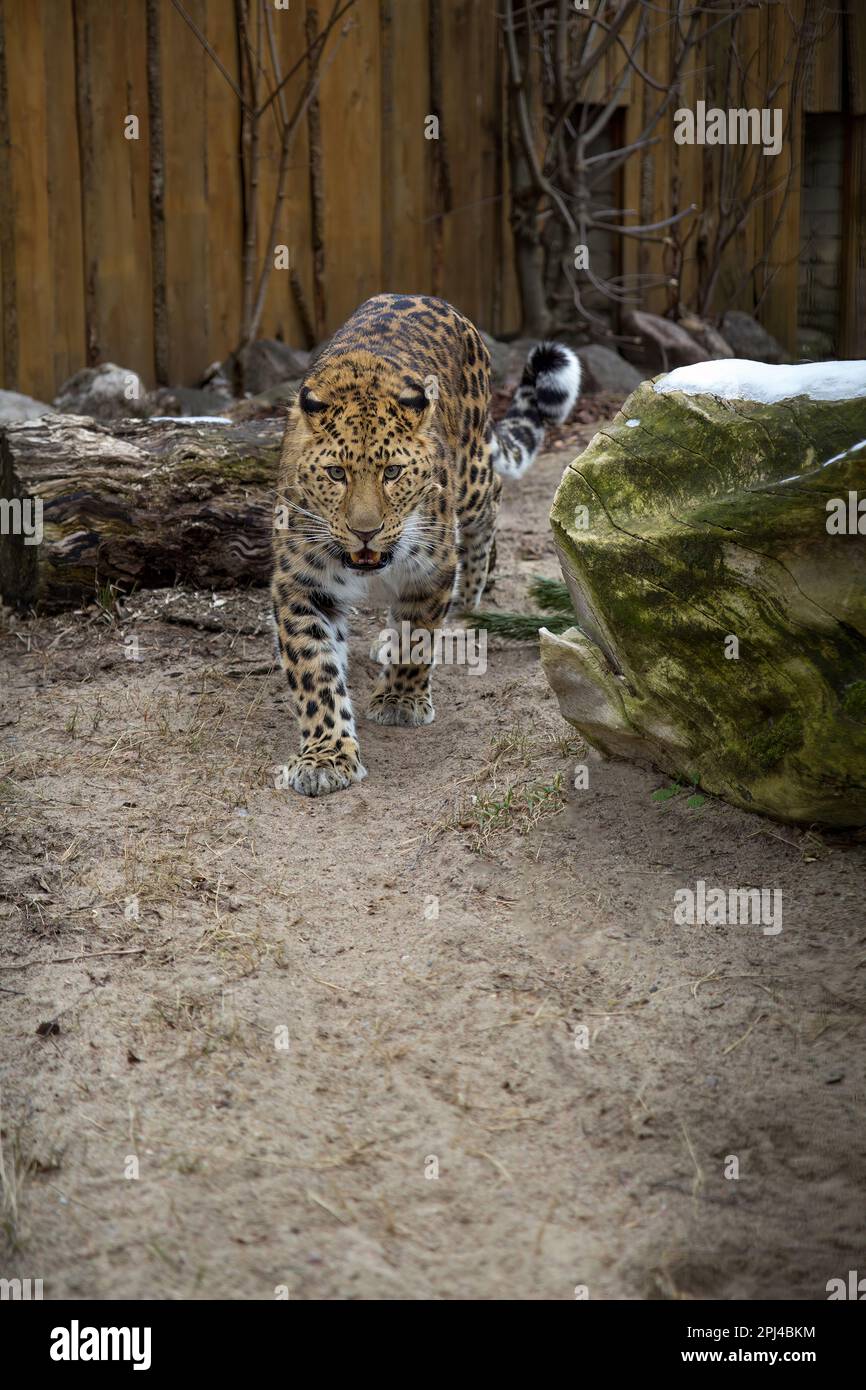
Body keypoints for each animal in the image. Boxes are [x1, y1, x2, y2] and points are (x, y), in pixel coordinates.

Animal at [271, 293, 580, 796]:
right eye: (336, 474)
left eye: (393, 472)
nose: (365, 530)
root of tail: (425, 296)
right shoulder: (300, 584)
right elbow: (315, 673)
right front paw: (326, 756)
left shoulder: (431, 569)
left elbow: (416, 637)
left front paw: (400, 699)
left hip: (473, 477)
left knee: (492, 500)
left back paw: (469, 599)